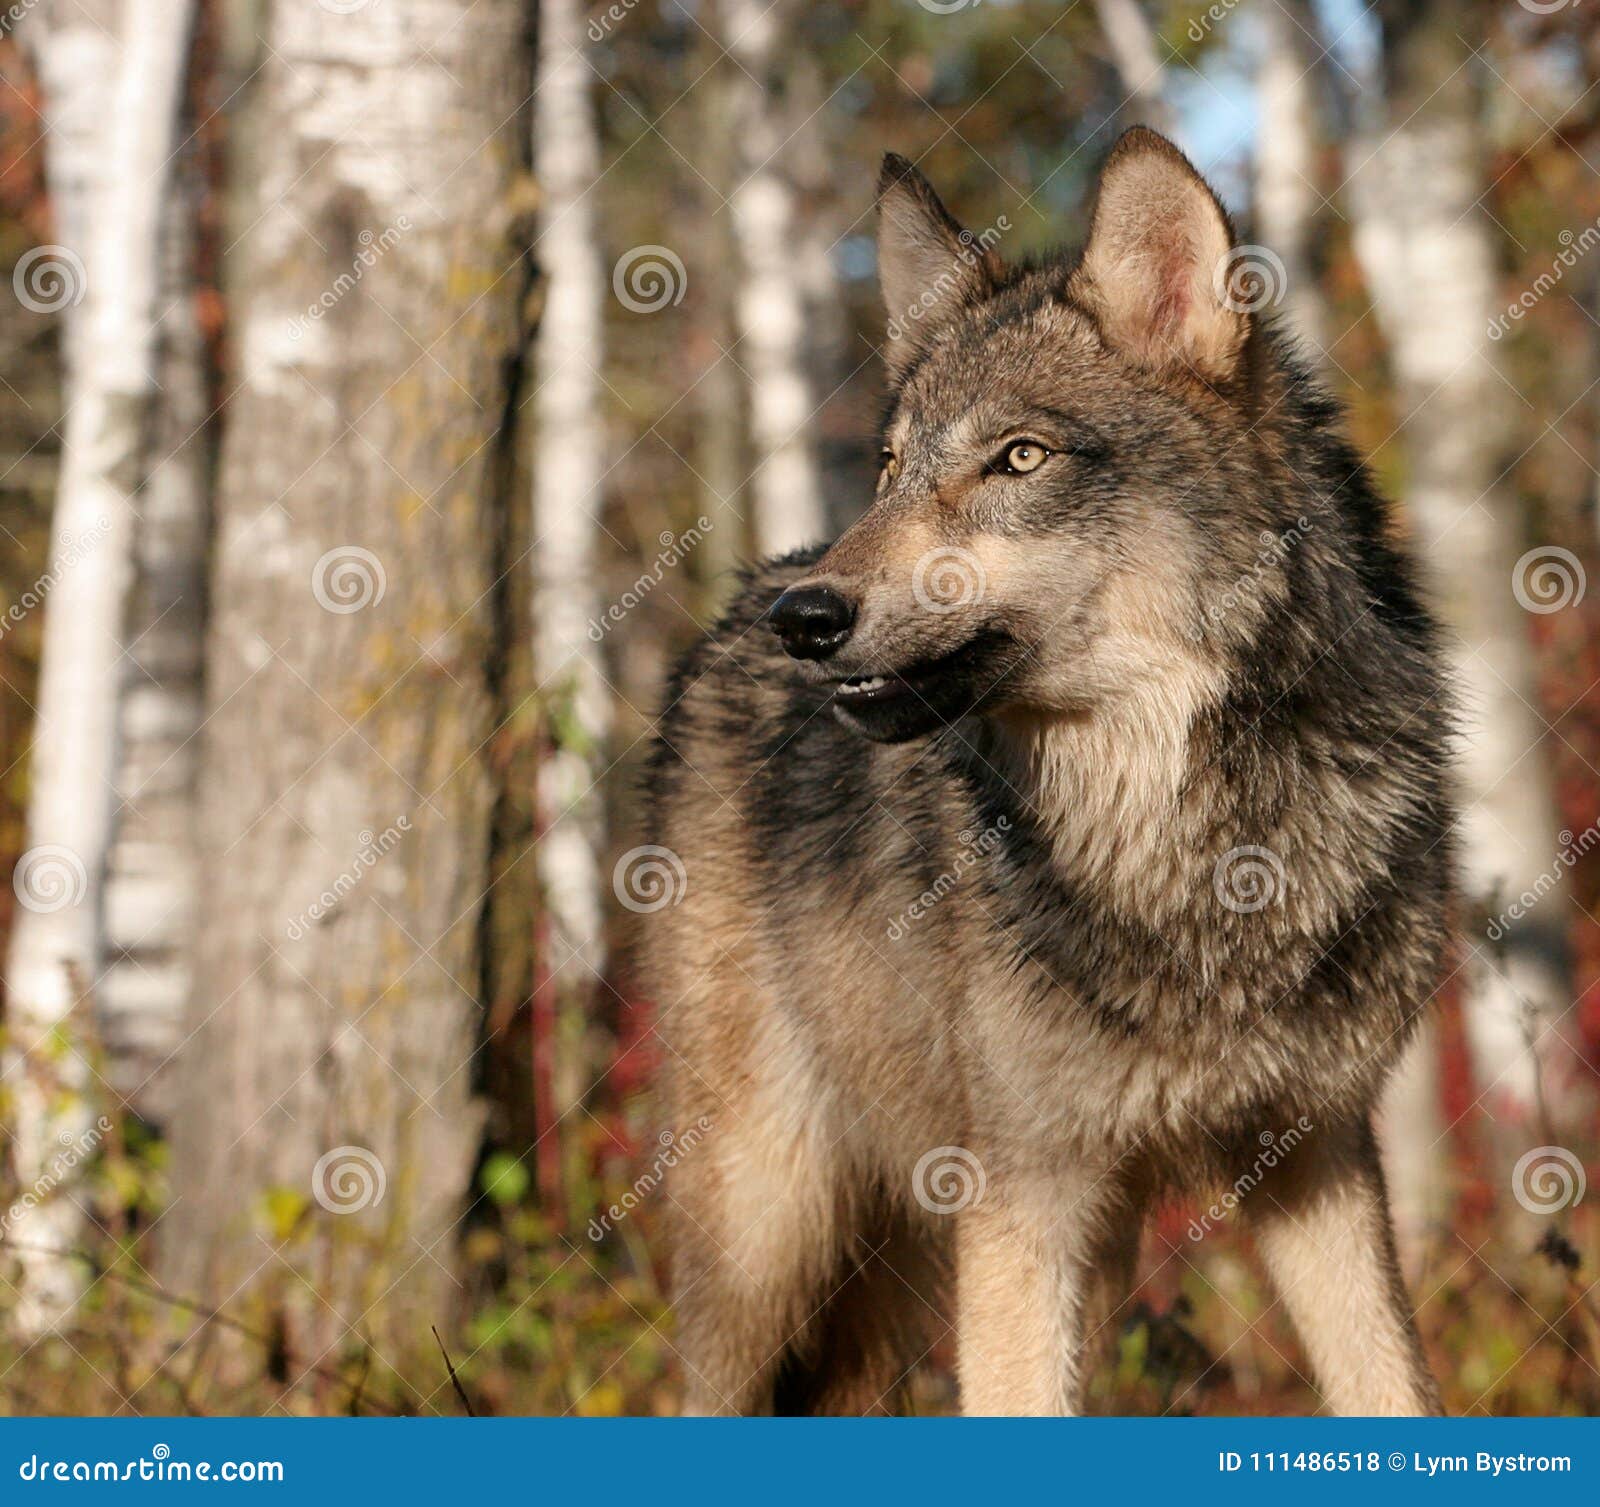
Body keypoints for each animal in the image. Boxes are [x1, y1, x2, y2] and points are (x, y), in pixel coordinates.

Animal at [638, 127, 1455, 1416]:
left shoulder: (1317, 1154)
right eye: (888, 464)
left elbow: (1395, 1393)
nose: (805, 619)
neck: (1188, 846)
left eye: (1016, 458)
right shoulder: (1024, 1194)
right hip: (765, 1225)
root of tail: (727, 611)